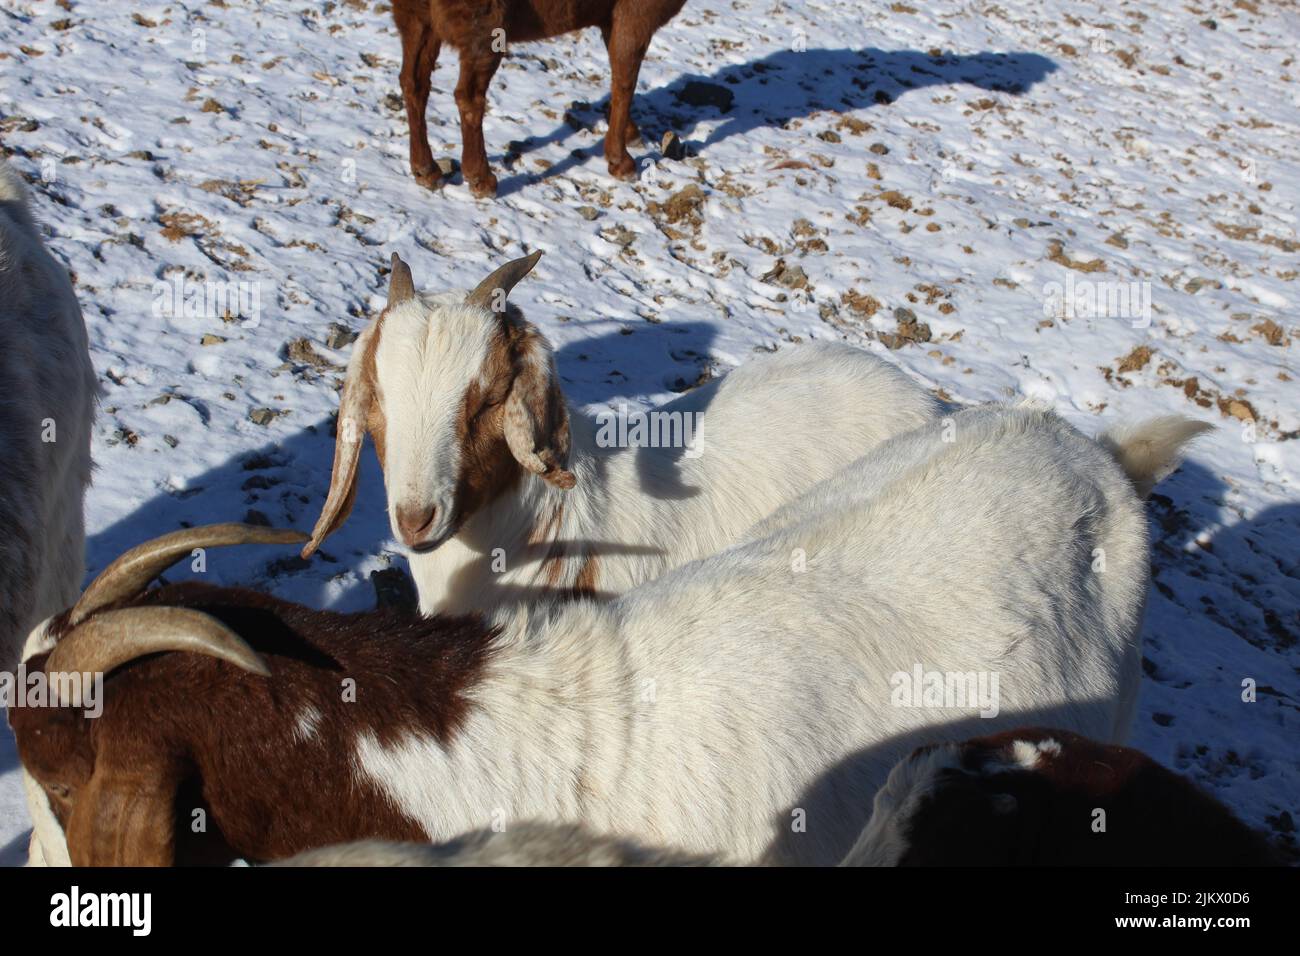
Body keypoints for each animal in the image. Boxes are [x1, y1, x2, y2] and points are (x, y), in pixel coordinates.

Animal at [392, 0, 688, 196]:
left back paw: (426, 170)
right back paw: (482, 179)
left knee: (413, 82)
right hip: (483, 24)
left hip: (416, 18)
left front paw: (630, 133)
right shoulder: (634, 15)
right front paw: (621, 162)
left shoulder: (609, 19)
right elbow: (625, 81)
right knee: (468, 96)